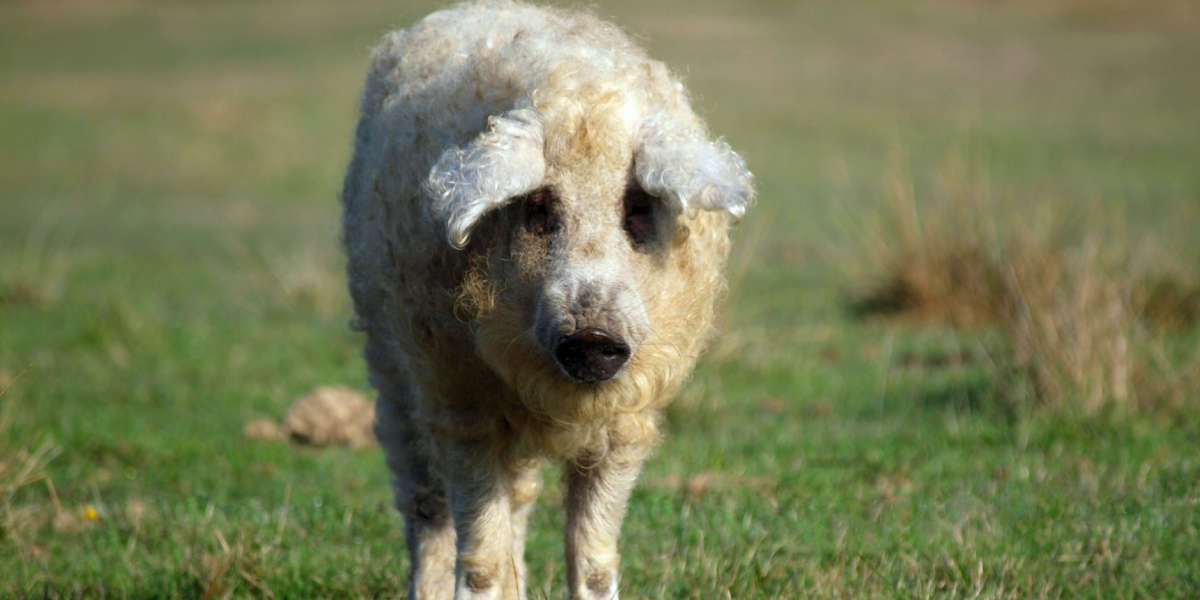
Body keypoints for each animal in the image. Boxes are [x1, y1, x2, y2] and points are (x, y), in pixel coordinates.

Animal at [340, 2, 754, 598]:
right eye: (538, 205)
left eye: (637, 206)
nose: (594, 336)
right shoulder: (463, 406)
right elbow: (480, 557)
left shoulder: (627, 420)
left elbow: (595, 558)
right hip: (391, 365)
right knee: (425, 506)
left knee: (519, 500)